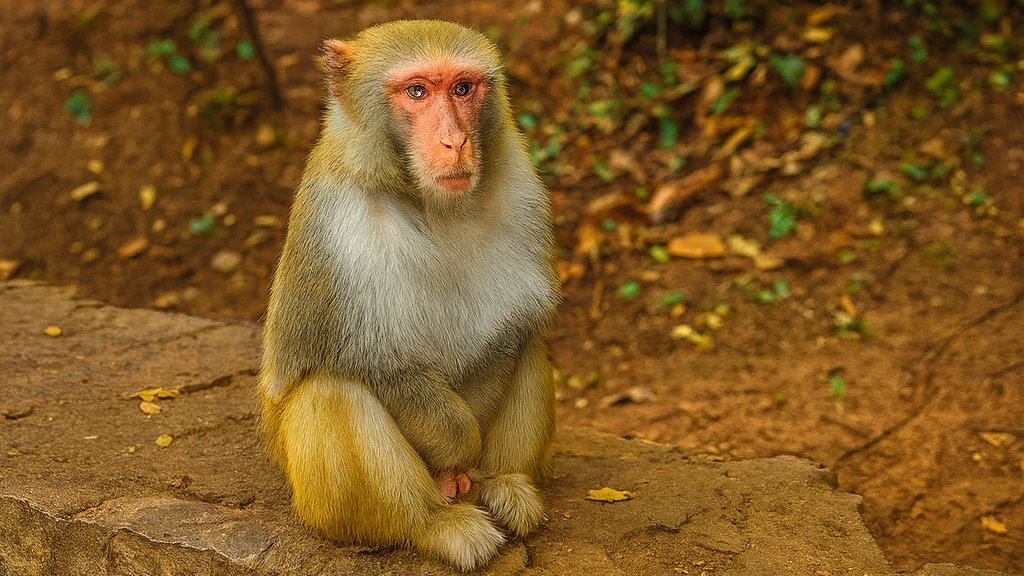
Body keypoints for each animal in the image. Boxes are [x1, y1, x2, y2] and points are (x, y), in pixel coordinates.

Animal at [257, 20, 560, 571]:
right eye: (416, 91)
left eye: (462, 88)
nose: (455, 141)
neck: (425, 201)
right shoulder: (342, 226)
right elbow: (381, 362)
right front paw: (459, 445)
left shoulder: (521, 191)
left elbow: (510, 330)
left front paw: (478, 464)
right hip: (316, 504)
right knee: (330, 391)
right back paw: (434, 524)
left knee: (530, 345)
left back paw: (502, 486)